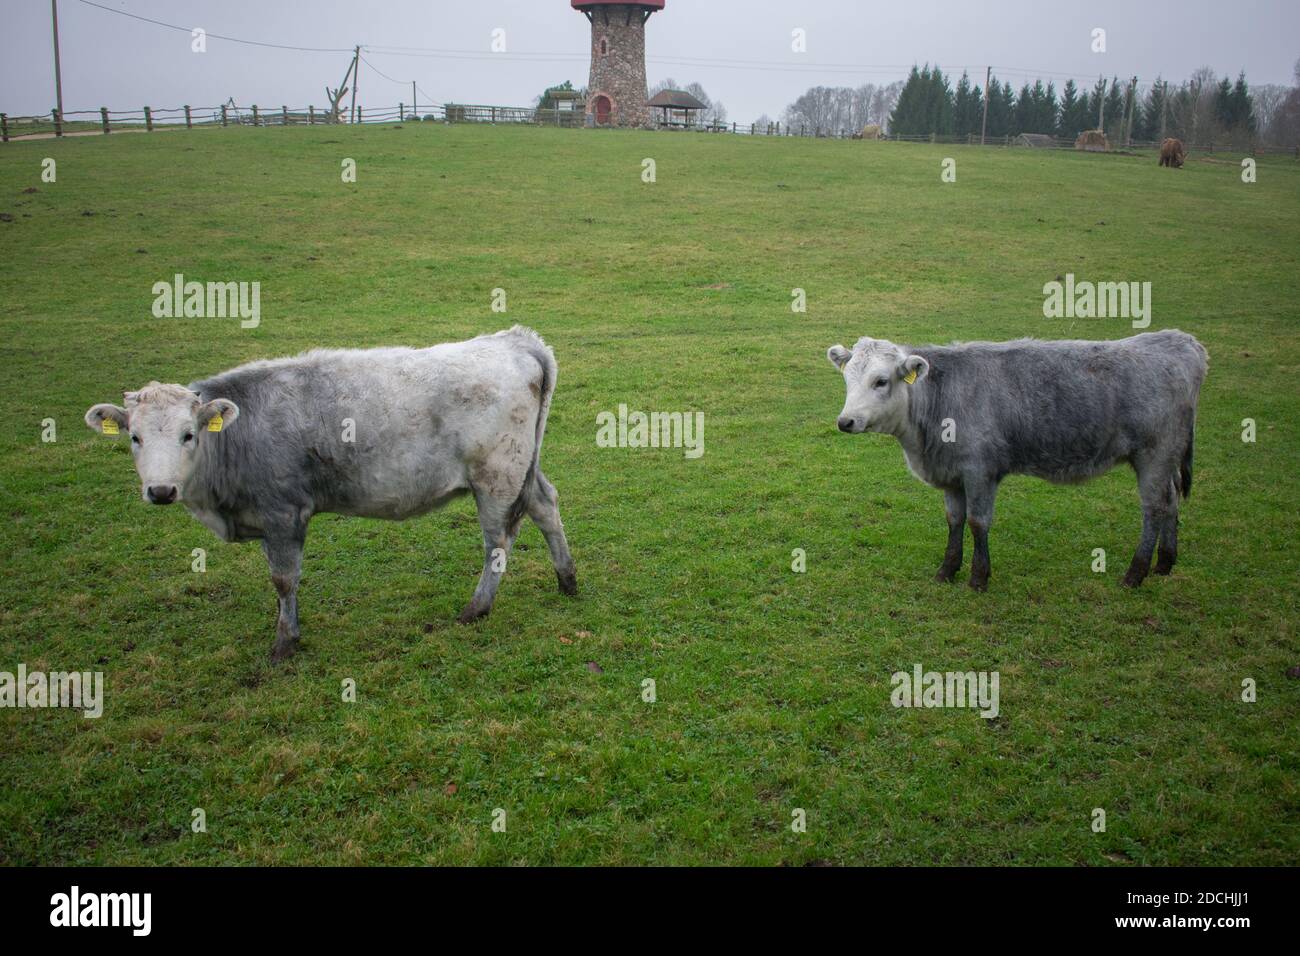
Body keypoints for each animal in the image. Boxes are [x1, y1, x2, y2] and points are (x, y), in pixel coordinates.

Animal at [85, 326, 577, 661]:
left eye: (188, 435)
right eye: (134, 438)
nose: (160, 490)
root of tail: (515, 341)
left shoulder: (283, 514)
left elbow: (284, 579)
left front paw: (285, 642)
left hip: (496, 477)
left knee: (499, 540)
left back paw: (477, 608)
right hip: (523, 471)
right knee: (546, 507)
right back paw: (567, 580)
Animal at [827, 330, 1207, 591]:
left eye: (881, 381)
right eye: (846, 378)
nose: (846, 421)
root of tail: (1181, 342)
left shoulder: (980, 471)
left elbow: (977, 522)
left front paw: (979, 578)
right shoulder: (952, 474)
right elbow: (954, 520)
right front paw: (947, 570)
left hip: (1154, 454)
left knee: (1154, 508)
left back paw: (1135, 573)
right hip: (1166, 459)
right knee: (1171, 501)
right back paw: (1165, 563)